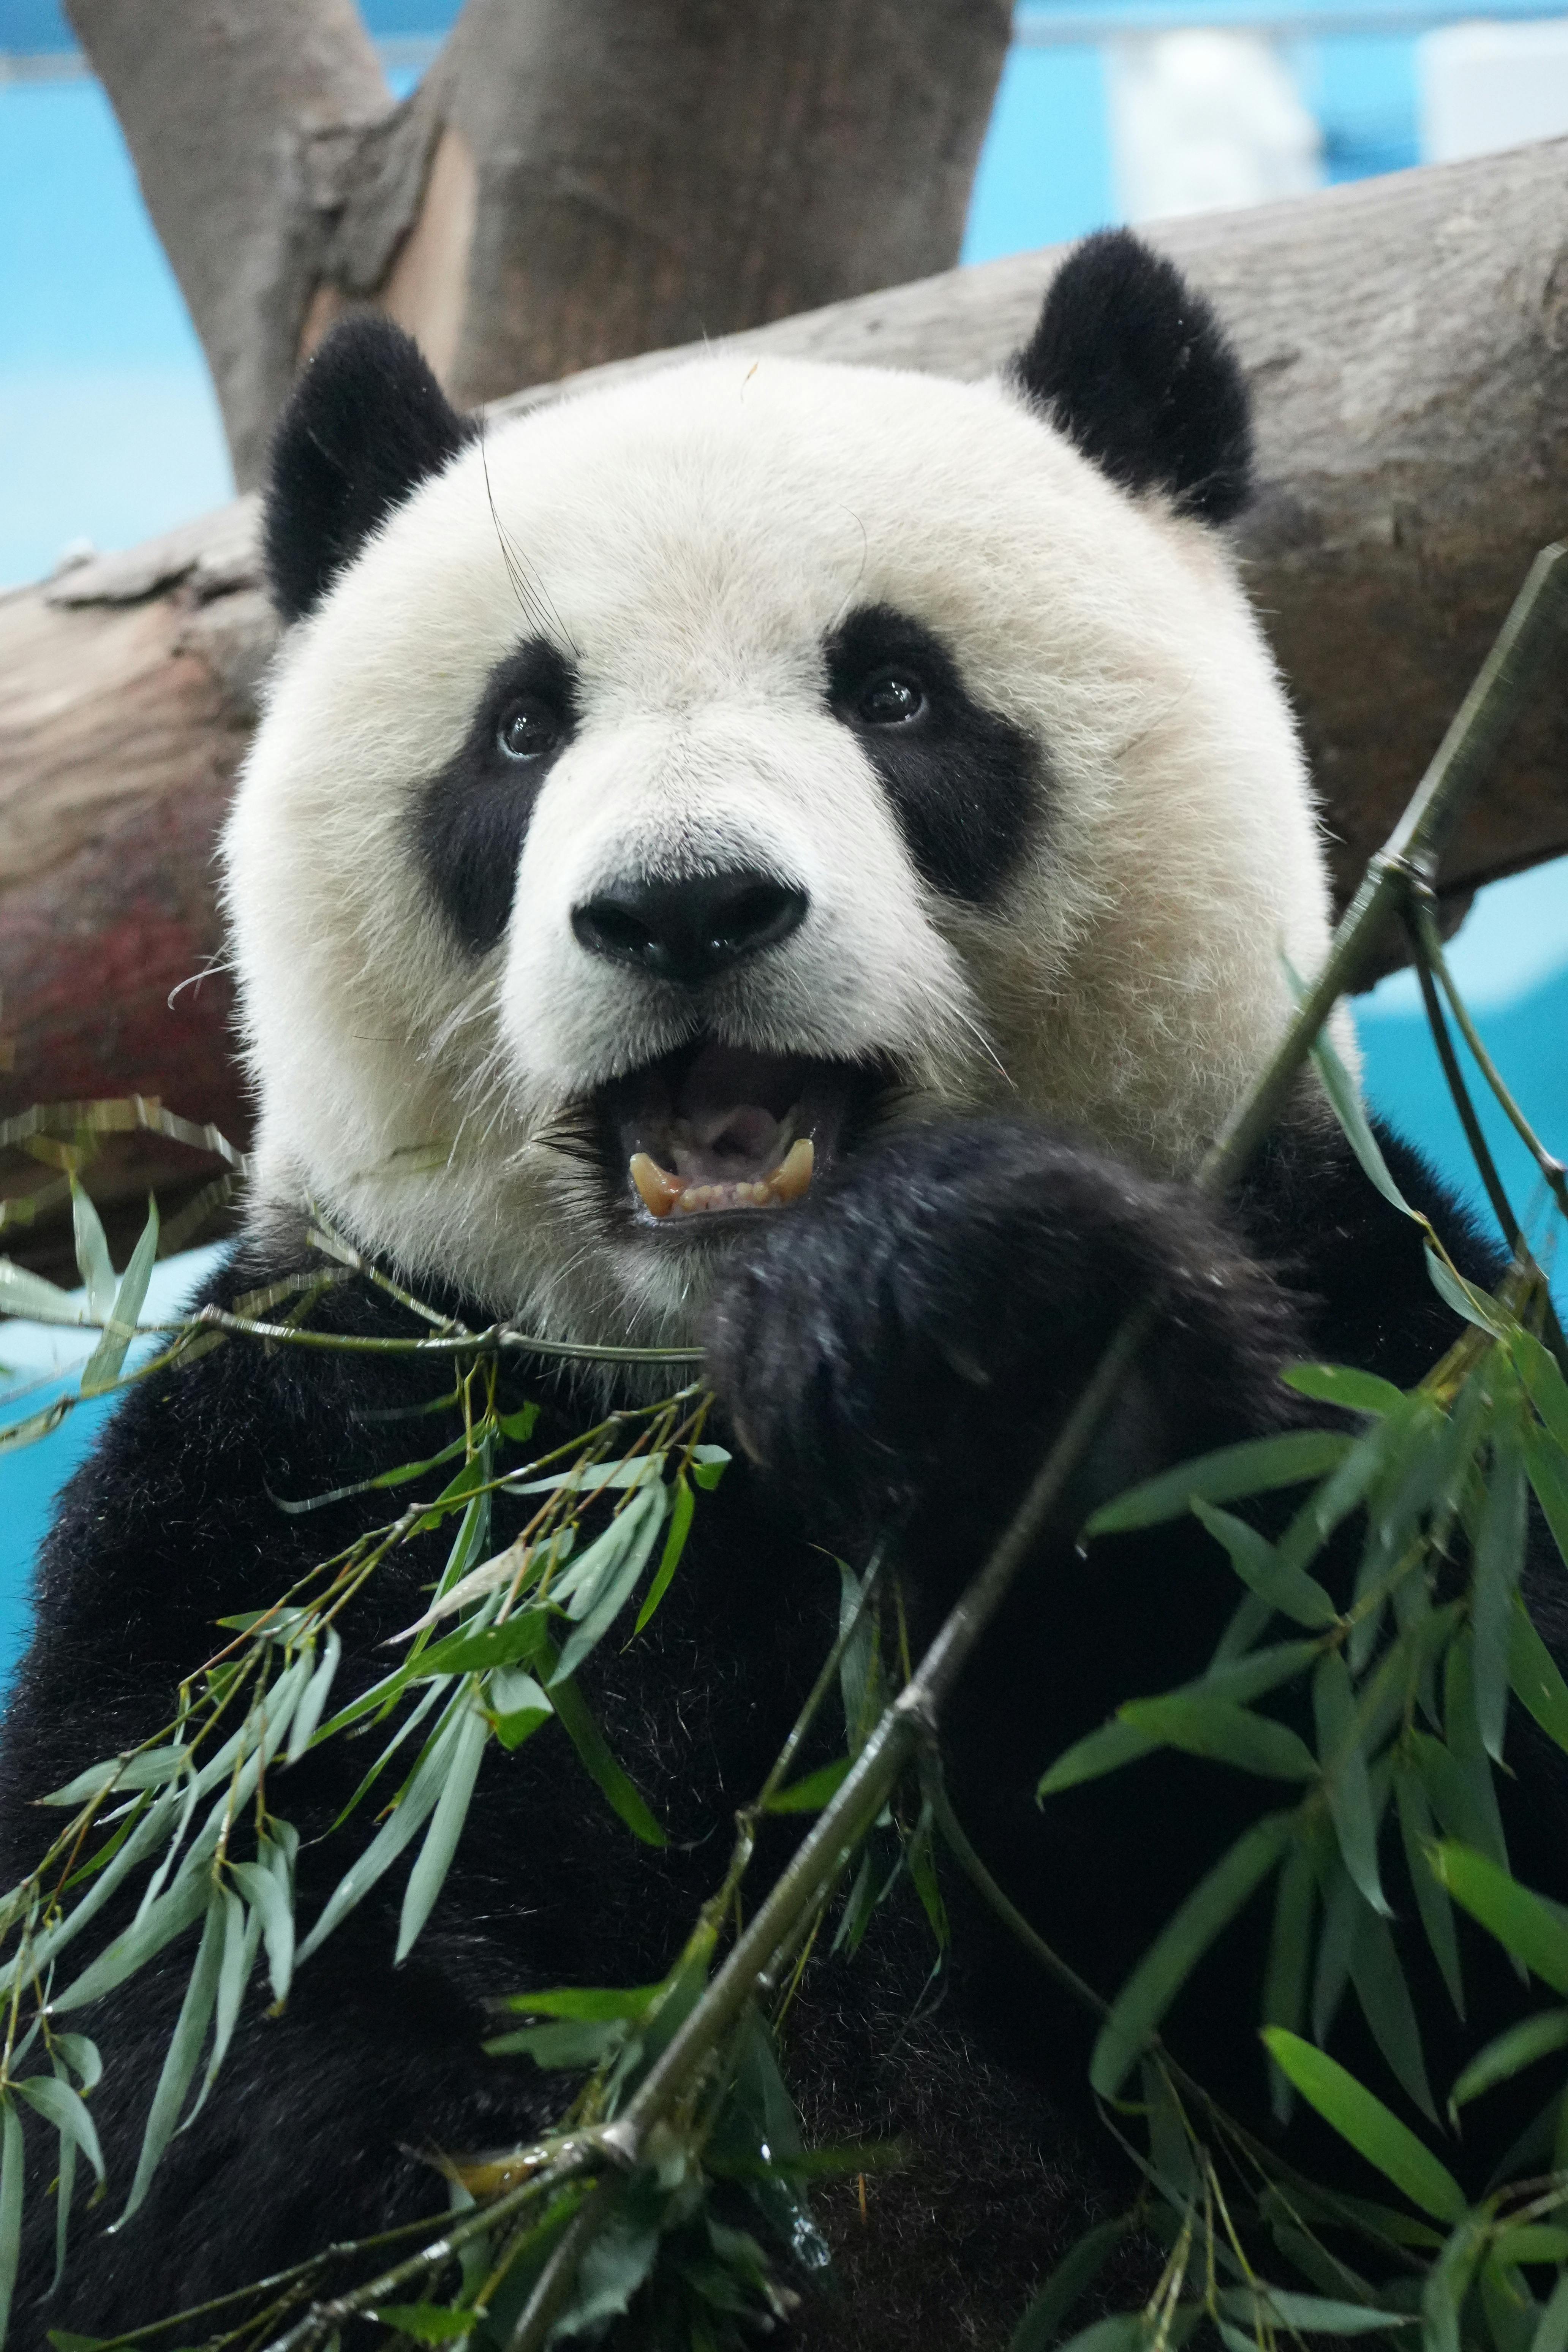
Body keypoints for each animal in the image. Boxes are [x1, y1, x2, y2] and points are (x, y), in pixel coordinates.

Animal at [1, 230, 1555, 2348]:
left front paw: (981, 1338)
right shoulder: (313, 1458)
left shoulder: (1375, 1333)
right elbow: (146, 2050)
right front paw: (547, 2202)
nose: (683, 908)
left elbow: (1391, 1908)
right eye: (519, 727)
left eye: (894, 688)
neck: (698, 1387)